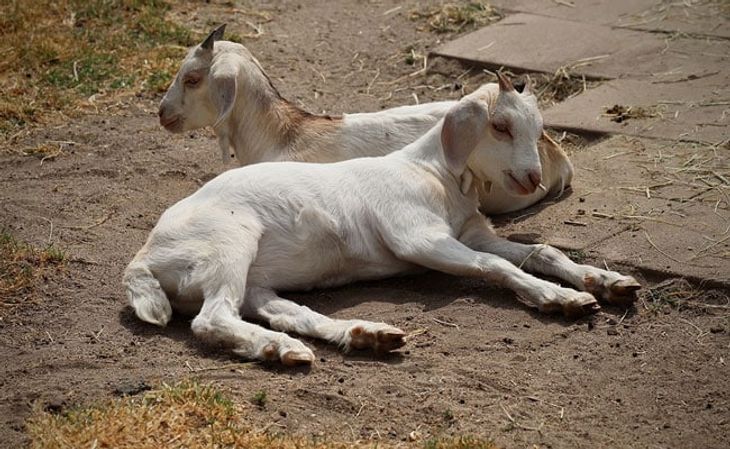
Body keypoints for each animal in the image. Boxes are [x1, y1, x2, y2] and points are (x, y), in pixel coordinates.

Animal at [126, 73, 640, 365]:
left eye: (539, 130)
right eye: (499, 126)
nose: (534, 177)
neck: (436, 173)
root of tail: (143, 258)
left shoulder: (473, 233)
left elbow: (539, 250)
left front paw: (608, 282)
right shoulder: (419, 238)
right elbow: (495, 266)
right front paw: (562, 298)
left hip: (252, 278)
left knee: (283, 311)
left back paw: (354, 337)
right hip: (229, 241)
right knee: (212, 318)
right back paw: (286, 348)